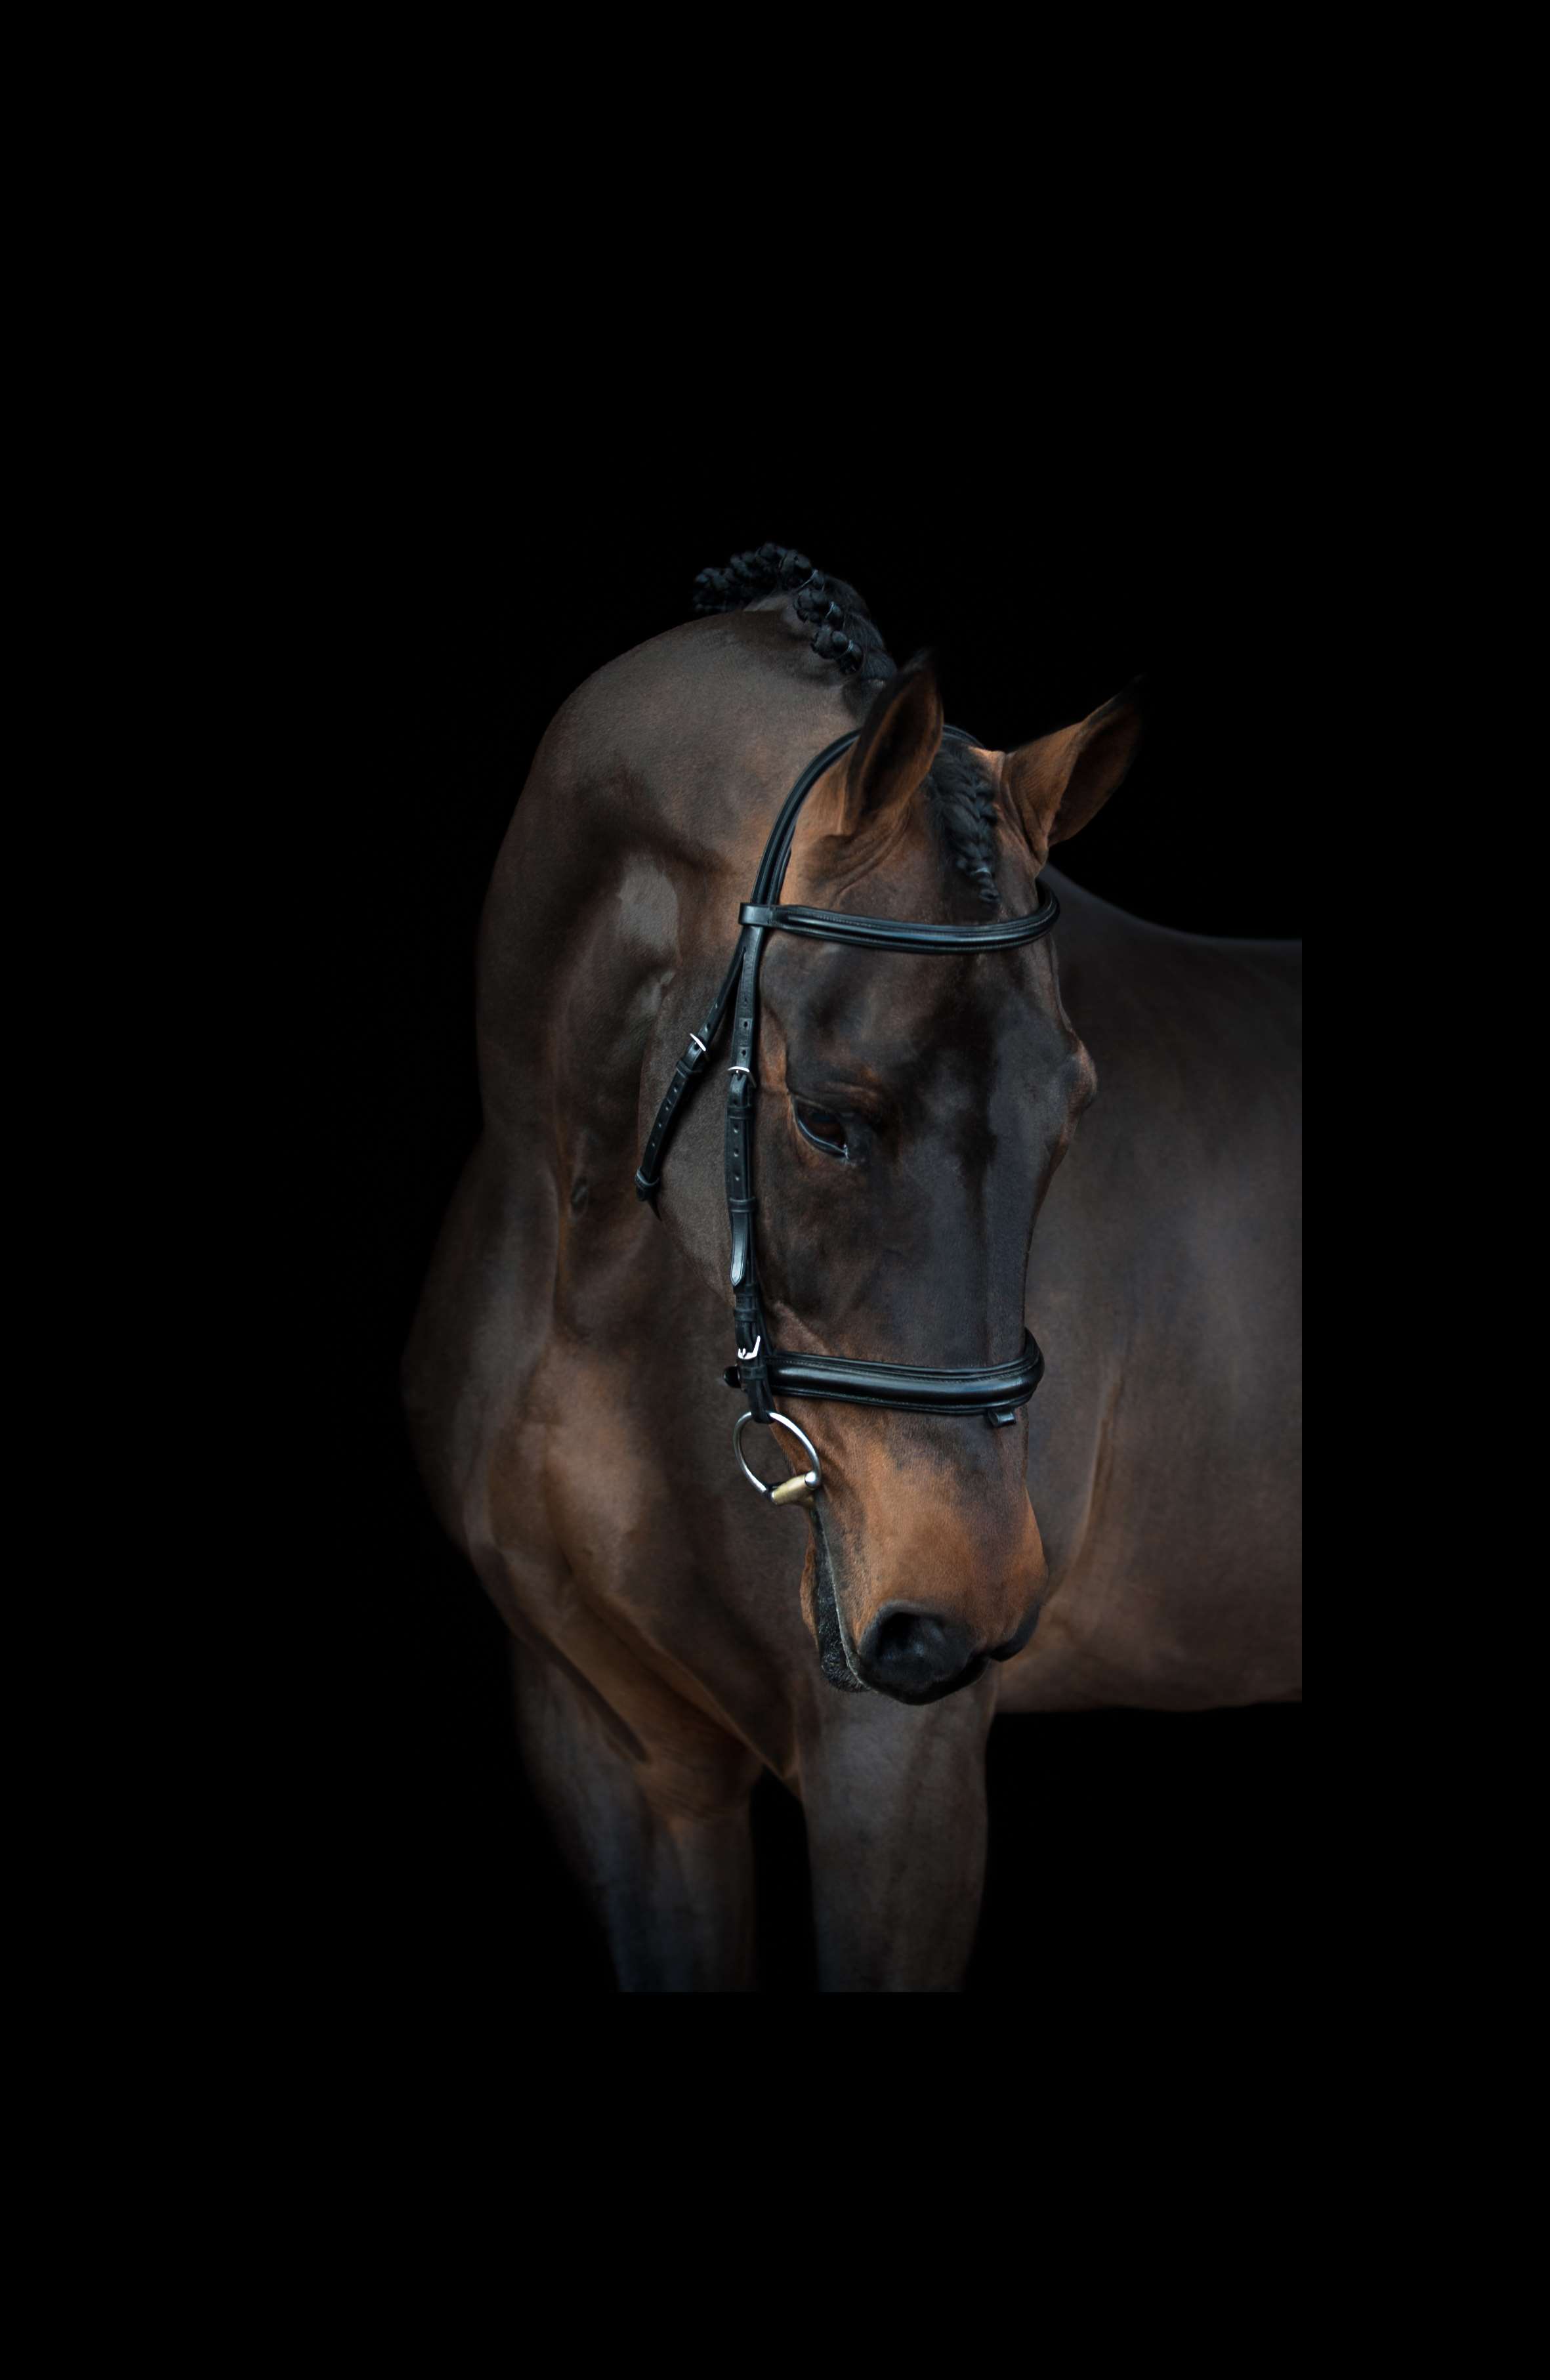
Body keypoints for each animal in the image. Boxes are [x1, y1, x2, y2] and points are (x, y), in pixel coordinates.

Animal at [402, 545, 1302, 1992]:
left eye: (1072, 1111)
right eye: (825, 1117)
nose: (960, 1610)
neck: (587, 1295)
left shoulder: (896, 1762)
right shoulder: (617, 1752)